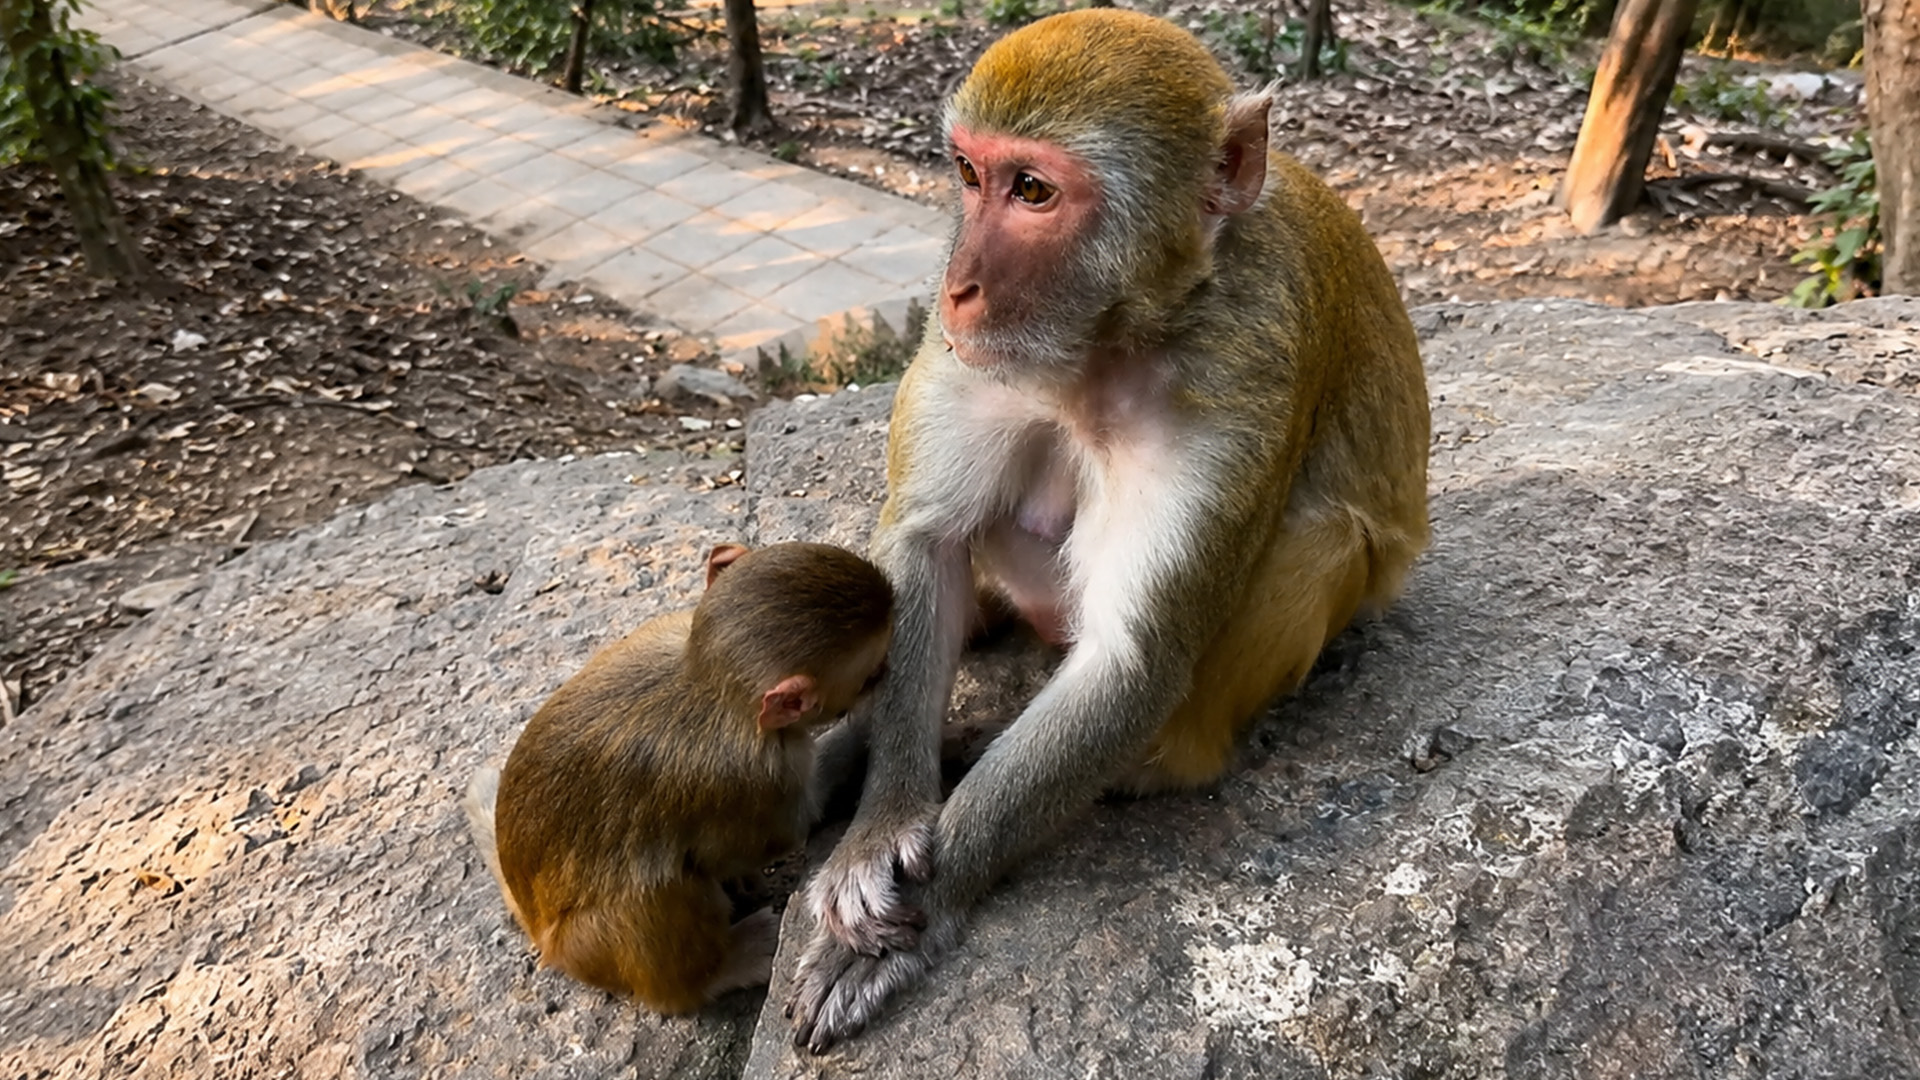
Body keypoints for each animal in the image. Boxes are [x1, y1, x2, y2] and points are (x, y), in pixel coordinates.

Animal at [463, 541, 894, 1015]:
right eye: (870, 673)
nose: (889, 672)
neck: (712, 683)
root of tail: (538, 927)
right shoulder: (756, 777)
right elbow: (784, 830)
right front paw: (868, 727)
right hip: (591, 948)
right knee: (660, 888)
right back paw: (721, 968)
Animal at [786, 9, 1430, 1049]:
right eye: (969, 174)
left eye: (1034, 191)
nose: (957, 288)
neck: (1107, 341)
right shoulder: (972, 358)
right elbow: (924, 543)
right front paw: (878, 832)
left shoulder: (1236, 385)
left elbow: (1132, 662)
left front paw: (927, 906)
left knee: (1318, 536)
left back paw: (1150, 764)